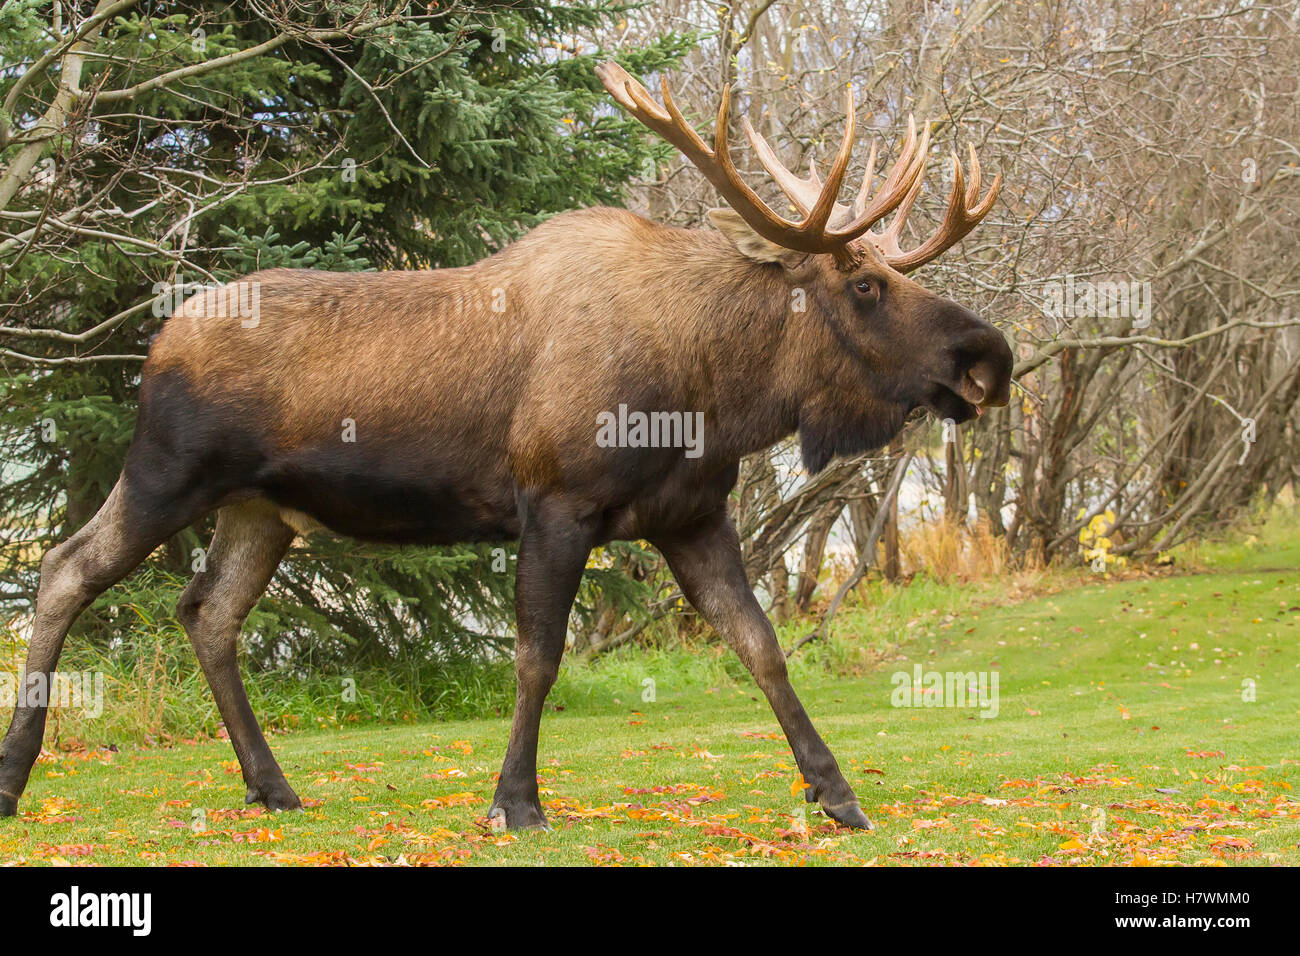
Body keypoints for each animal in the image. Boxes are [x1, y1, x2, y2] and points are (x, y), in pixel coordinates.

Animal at [0, 62, 1012, 831]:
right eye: (863, 284)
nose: (989, 357)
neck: (713, 392)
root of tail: (158, 340)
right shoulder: (555, 499)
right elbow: (538, 655)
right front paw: (515, 801)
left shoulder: (691, 514)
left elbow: (760, 645)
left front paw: (834, 792)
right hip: (166, 471)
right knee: (63, 568)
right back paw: (17, 780)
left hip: (261, 510)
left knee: (207, 613)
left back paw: (273, 785)